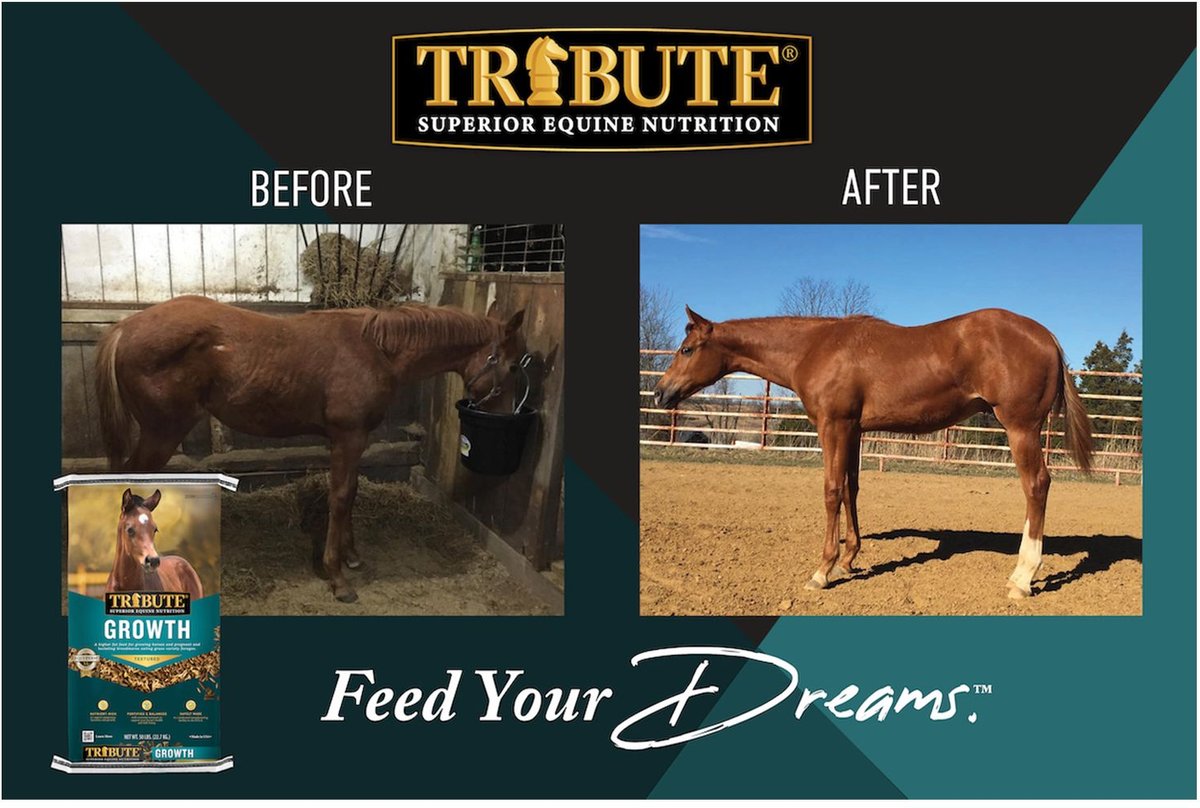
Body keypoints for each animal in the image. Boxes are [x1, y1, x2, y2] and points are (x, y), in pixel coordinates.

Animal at [95, 295, 527, 602]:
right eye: (511, 366)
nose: (505, 418)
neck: (376, 350)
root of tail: (125, 328)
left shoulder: (354, 439)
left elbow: (351, 493)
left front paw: (351, 556)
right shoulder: (348, 437)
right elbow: (340, 496)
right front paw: (338, 577)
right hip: (161, 433)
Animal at [653, 307, 1094, 599]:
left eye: (687, 349)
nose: (659, 392)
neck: (813, 347)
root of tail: (1047, 336)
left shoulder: (833, 425)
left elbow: (831, 491)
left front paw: (823, 570)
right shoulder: (853, 430)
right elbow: (852, 489)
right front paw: (850, 558)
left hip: (1021, 428)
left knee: (1036, 486)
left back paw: (1022, 578)